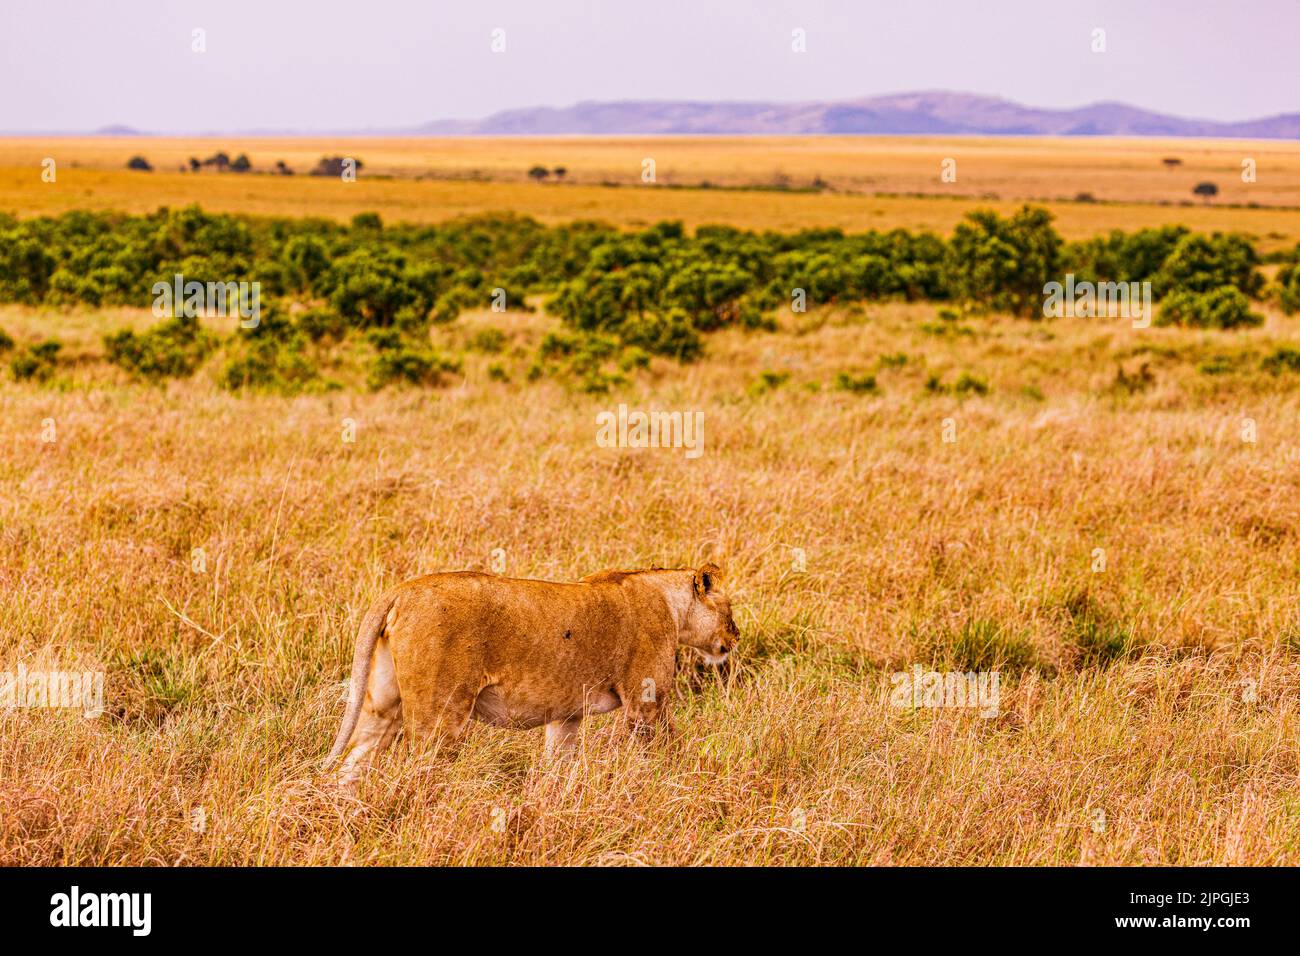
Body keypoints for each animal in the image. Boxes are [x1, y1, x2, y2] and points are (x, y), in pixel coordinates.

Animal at [326, 563, 738, 787]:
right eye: (730, 608)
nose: (736, 636)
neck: (673, 606)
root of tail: (401, 590)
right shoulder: (646, 703)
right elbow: (664, 751)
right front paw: (676, 782)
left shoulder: (566, 715)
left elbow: (560, 764)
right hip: (440, 715)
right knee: (420, 768)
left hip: (382, 703)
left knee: (354, 760)